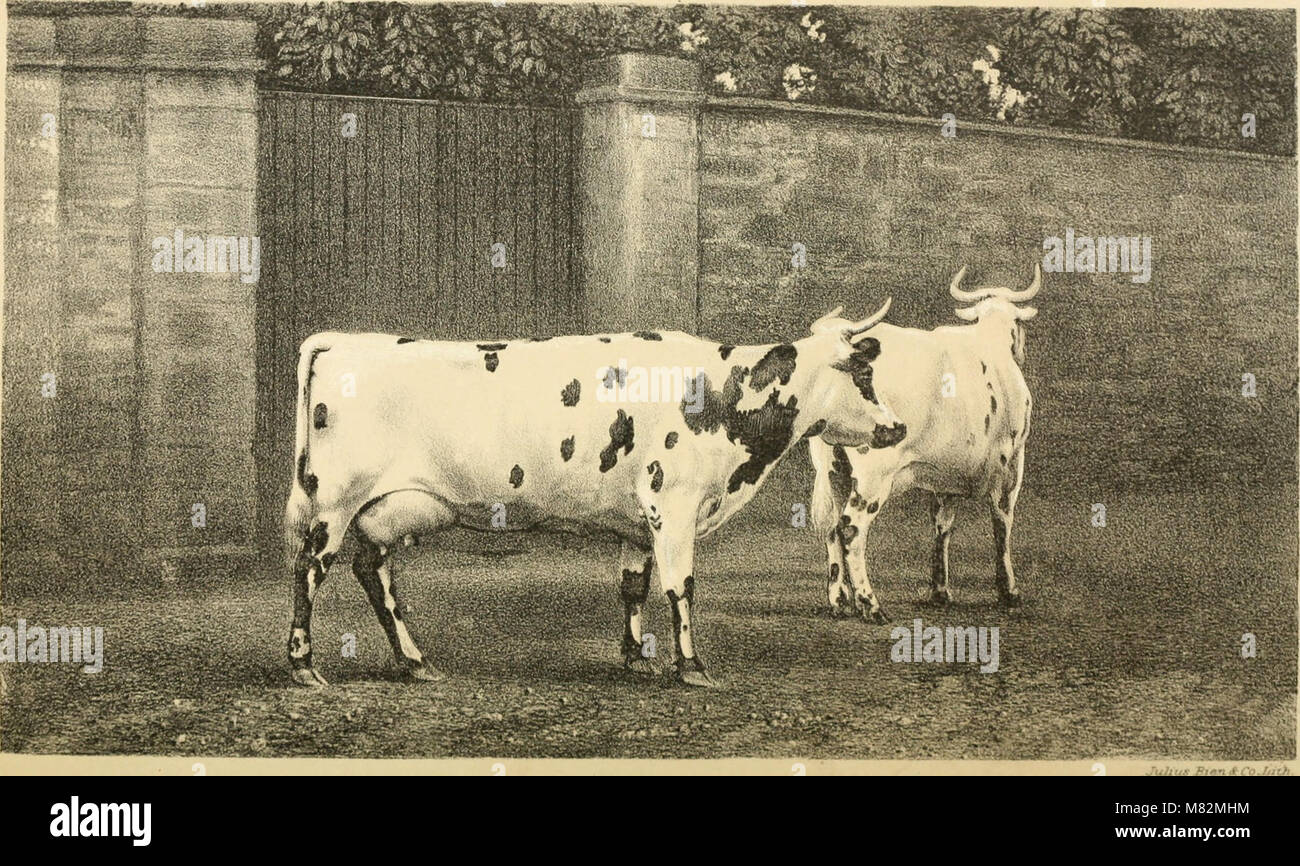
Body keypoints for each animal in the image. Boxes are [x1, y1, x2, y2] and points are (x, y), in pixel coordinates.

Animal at [284, 300, 907, 688]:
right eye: (863, 374)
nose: (897, 427)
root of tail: (346, 342)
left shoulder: (639, 519)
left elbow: (634, 587)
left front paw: (636, 661)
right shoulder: (673, 505)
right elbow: (681, 588)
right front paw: (692, 667)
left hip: (385, 509)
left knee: (372, 572)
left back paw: (414, 663)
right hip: (334, 502)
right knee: (309, 569)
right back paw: (304, 667)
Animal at [809, 265, 1040, 621]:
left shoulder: (946, 475)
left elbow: (942, 526)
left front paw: (940, 591)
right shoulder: (1012, 463)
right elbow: (1002, 523)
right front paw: (1009, 591)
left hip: (833, 469)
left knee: (832, 527)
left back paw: (839, 600)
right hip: (873, 473)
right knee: (851, 528)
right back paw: (871, 605)